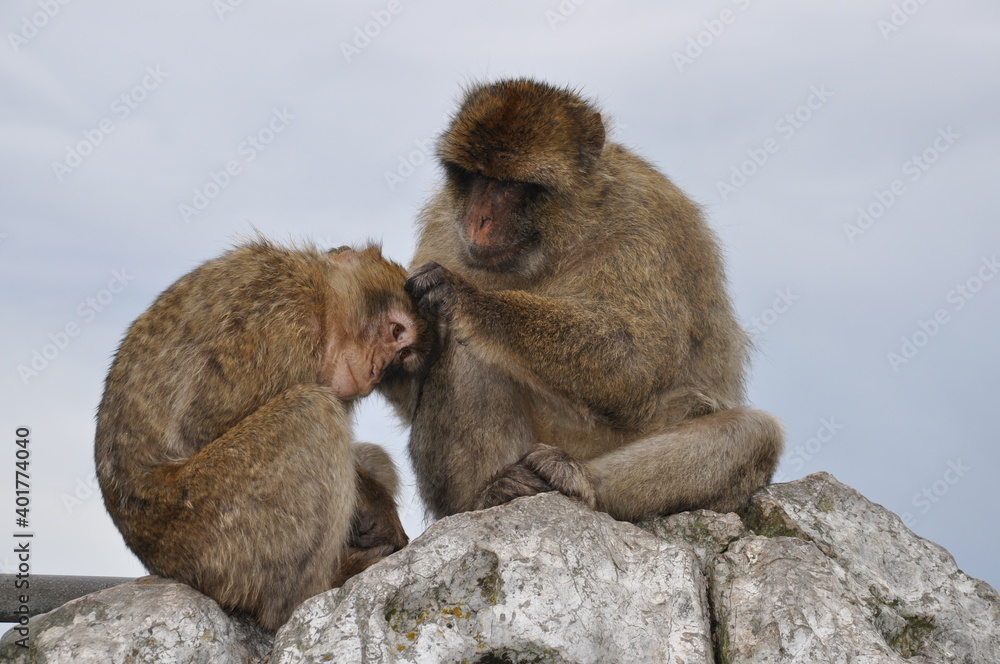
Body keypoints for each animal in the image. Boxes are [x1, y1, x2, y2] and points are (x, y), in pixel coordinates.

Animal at [95, 240, 431, 631]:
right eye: (396, 331)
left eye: (401, 355)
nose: (376, 371)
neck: (321, 297)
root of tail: (162, 564)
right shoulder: (279, 318)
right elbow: (205, 427)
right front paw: (380, 513)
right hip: (212, 534)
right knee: (312, 411)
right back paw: (312, 594)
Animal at [380, 78, 784, 524]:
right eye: (475, 177)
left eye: (511, 185)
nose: (478, 220)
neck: (563, 236)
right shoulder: (442, 225)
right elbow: (411, 397)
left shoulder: (648, 231)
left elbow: (635, 367)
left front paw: (465, 297)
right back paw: (489, 493)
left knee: (754, 435)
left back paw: (580, 479)